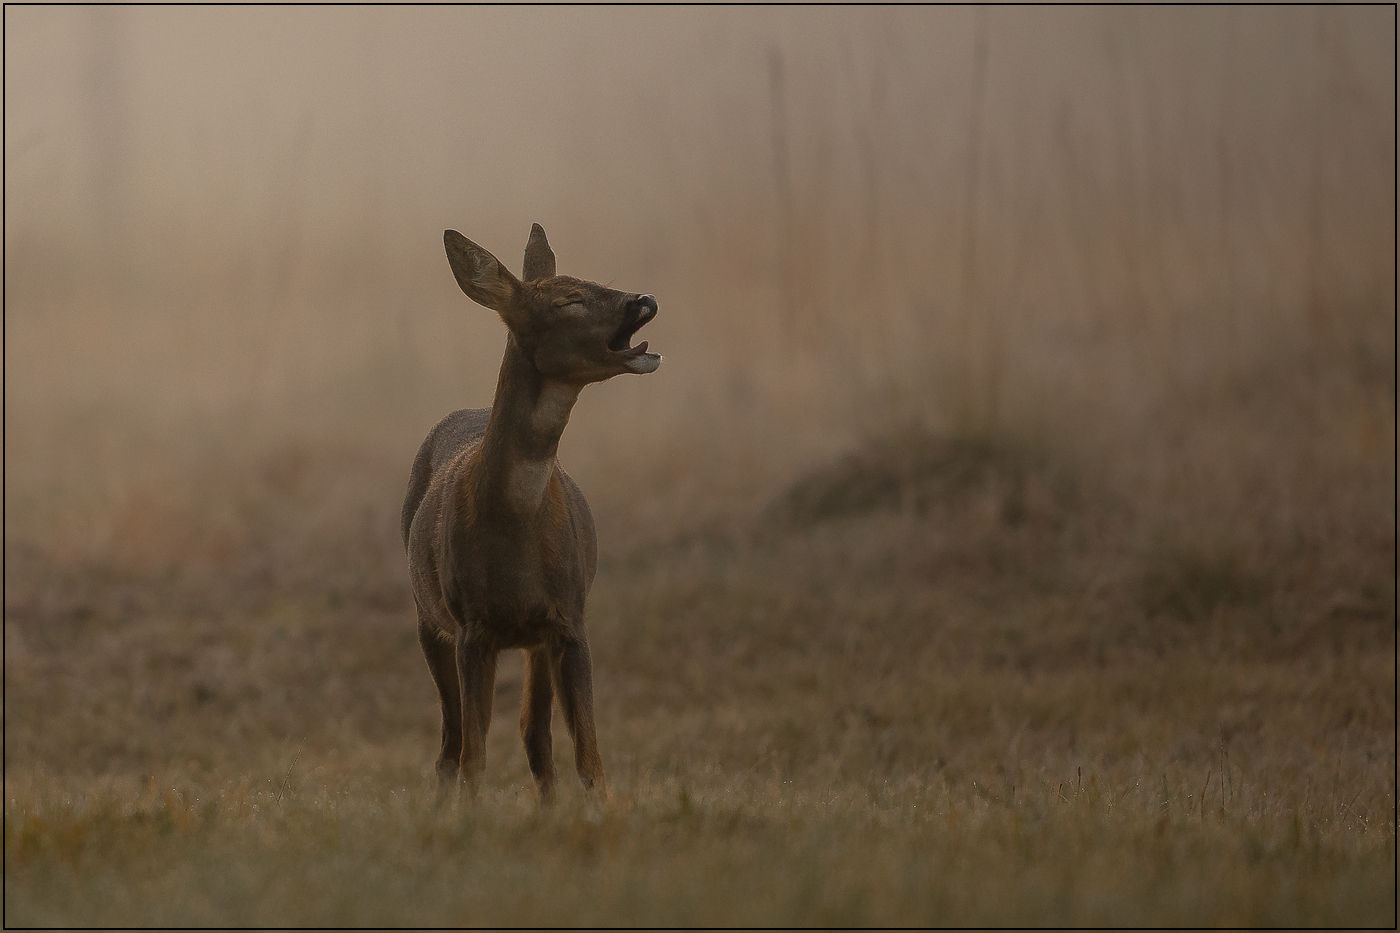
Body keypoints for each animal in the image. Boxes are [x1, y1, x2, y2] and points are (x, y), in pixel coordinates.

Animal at [400, 225, 660, 801]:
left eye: (595, 280)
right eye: (567, 300)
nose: (646, 300)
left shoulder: (569, 616)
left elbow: (589, 757)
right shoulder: (471, 626)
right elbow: (474, 756)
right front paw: (468, 817)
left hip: (533, 640)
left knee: (534, 735)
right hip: (429, 617)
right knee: (450, 743)